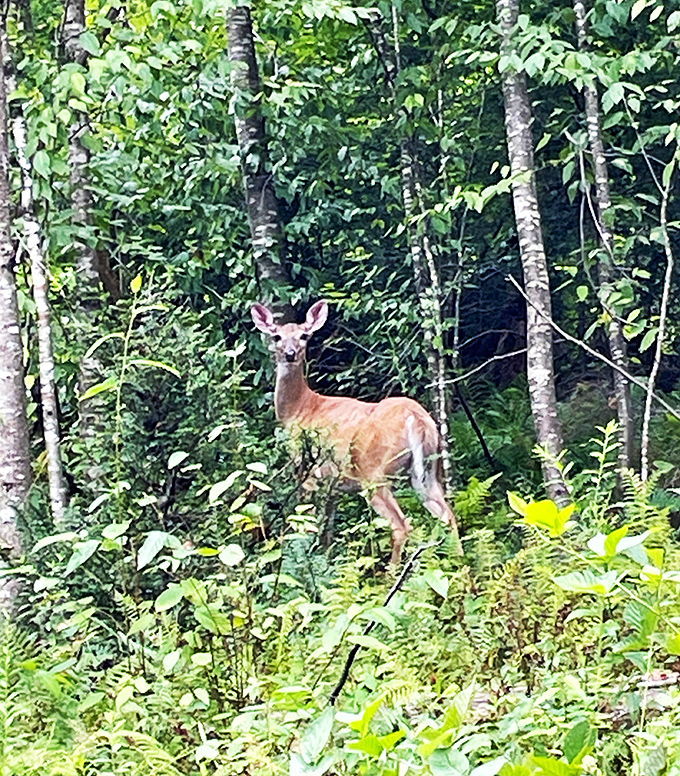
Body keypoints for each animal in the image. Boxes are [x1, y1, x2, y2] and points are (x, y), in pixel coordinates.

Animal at [251, 300, 462, 565]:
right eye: (277, 336)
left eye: (304, 336)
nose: (290, 354)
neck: (300, 408)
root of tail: (416, 419)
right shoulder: (333, 484)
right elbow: (328, 529)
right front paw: (326, 559)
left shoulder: (307, 471)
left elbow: (305, 521)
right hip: (428, 470)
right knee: (448, 516)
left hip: (373, 472)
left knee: (401, 525)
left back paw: (393, 571)